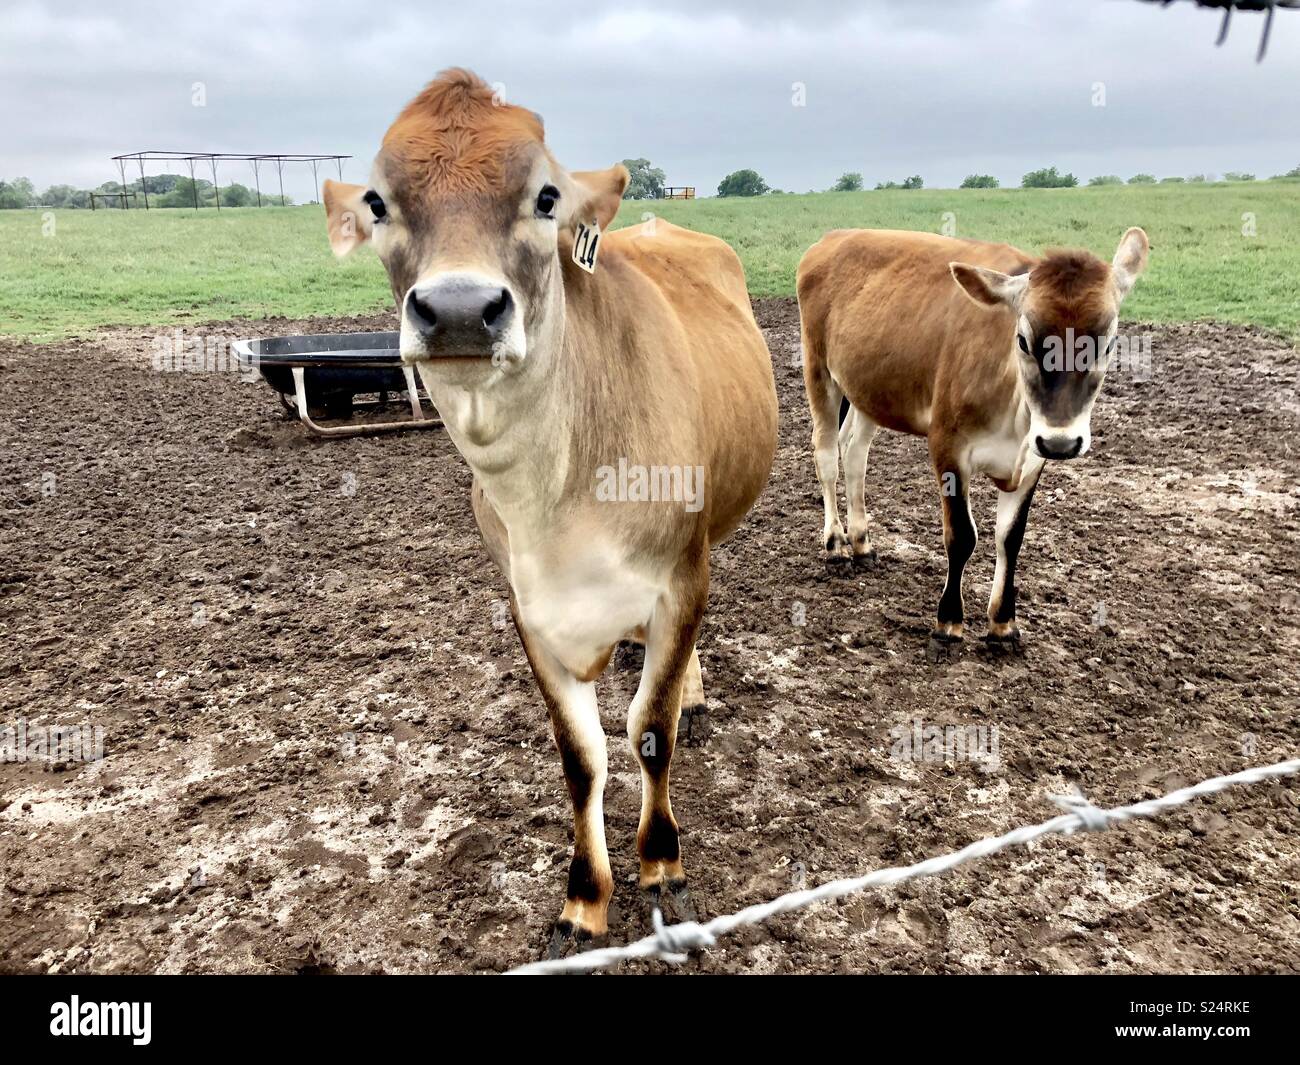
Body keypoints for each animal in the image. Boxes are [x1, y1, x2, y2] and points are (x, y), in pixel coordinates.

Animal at [322, 69, 778, 955]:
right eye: (380, 201)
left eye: (545, 196)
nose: (459, 309)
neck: (558, 496)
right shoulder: (528, 607)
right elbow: (582, 753)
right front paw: (584, 896)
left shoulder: (682, 576)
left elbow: (649, 729)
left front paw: (662, 864)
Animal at [797, 227, 1149, 657]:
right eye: (1023, 340)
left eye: (1108, 344)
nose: (1061, 443)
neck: (1014, 412)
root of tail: (833, 238)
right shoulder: (948, 446)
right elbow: (962, 535)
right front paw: (948, 621)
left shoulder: (1032, 459)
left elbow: (1010, 539)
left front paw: (1003, 624)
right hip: (819, 369)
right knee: (827, 455)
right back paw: (836, 544)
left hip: (870, 390)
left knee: (855, 455)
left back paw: (861, 541)